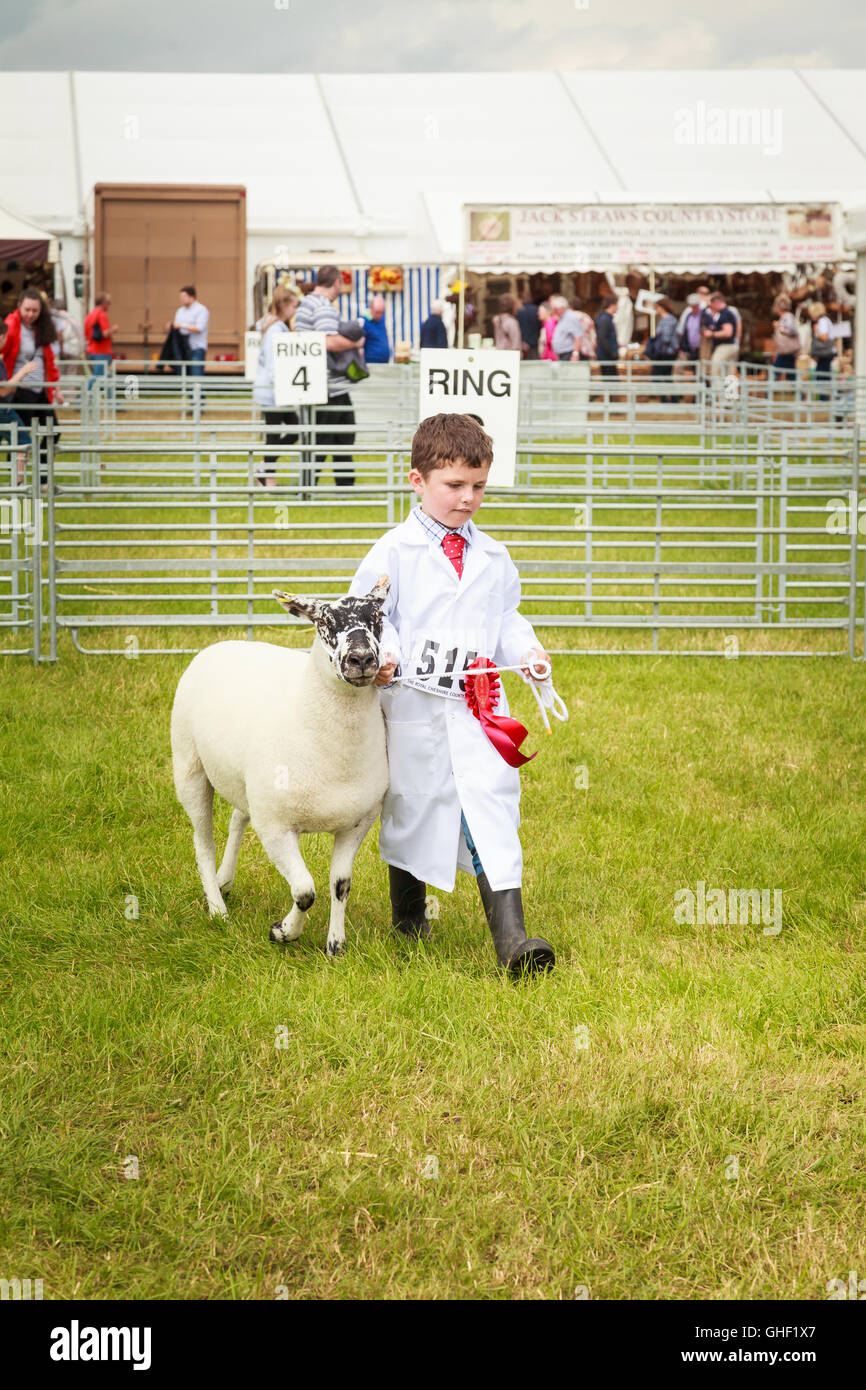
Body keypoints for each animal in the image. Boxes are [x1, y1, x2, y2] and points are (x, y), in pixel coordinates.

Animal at [170, 577, 390, 956]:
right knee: (203, 842)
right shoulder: (275, 826)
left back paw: (225, 881)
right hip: (189, 767)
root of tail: (221, 645)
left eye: (378, 616)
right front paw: (283, 932)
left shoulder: (357, 823)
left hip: (247, 784)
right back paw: (217, 907)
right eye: (323, 622)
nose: (361, 658)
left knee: (237, 818)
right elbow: (304, 890)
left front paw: (335, 945)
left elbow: (340, 884)